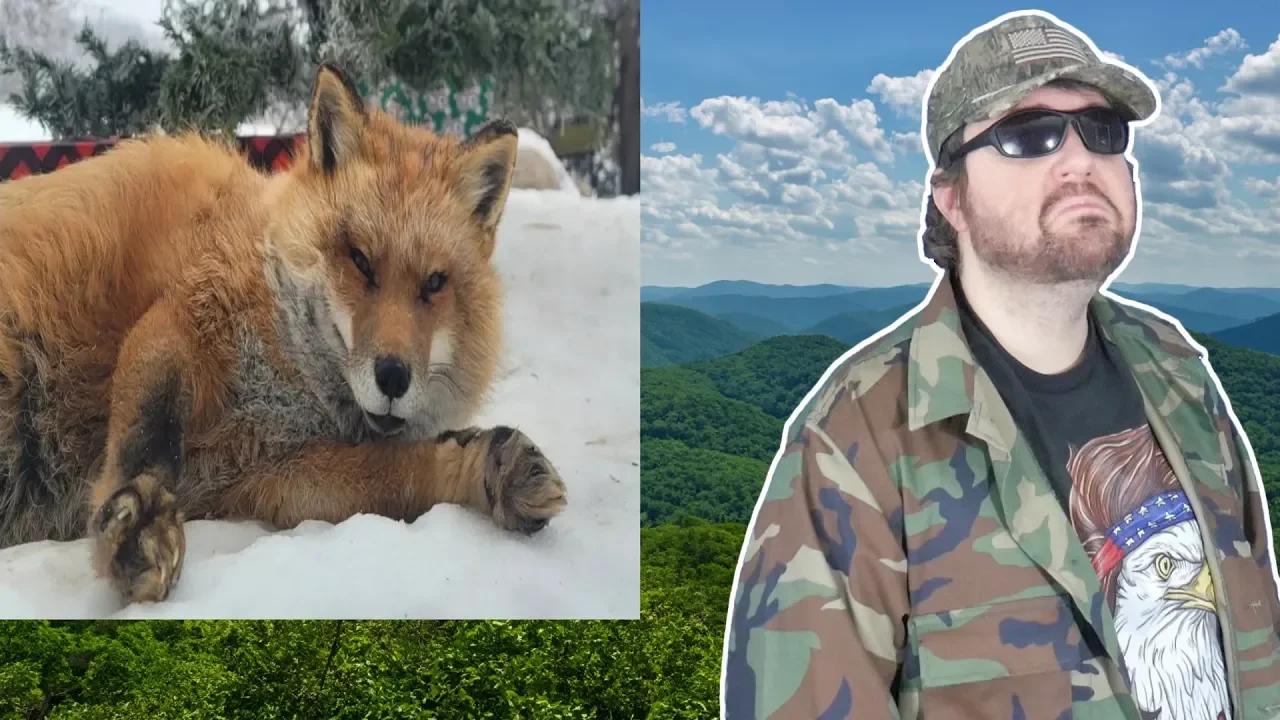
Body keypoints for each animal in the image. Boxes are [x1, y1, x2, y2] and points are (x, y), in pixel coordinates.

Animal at [0, 64, 567, 603]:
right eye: (360, 261)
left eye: (434, 284)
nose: (393, 377)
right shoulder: (179, 319)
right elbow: (150, 434)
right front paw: (140, 521)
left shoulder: (267, 472)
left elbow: (397, 476)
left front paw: (483, 468)